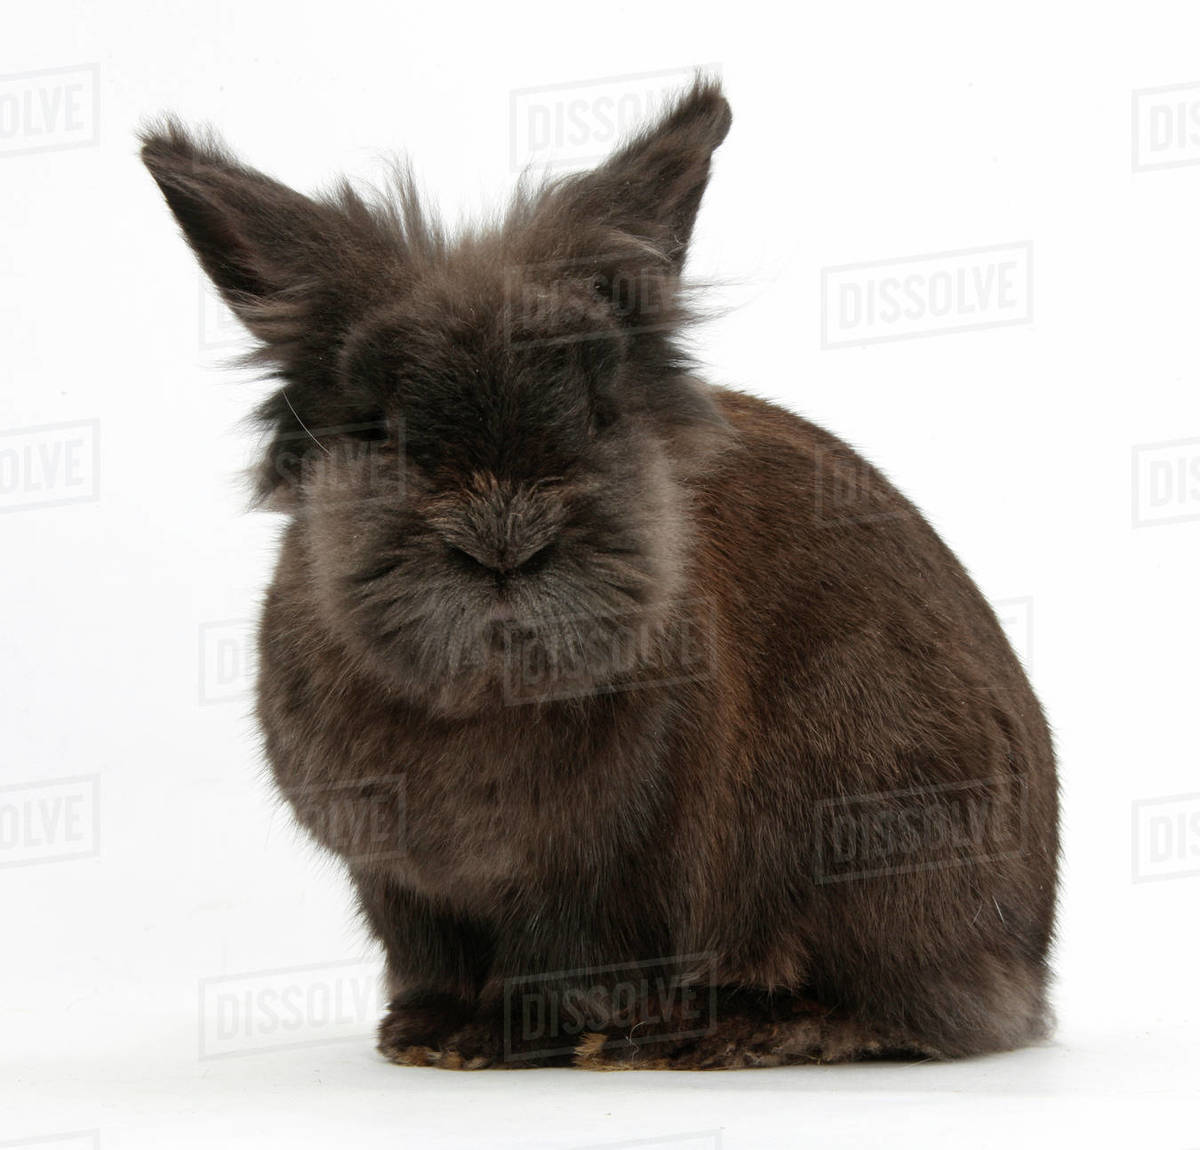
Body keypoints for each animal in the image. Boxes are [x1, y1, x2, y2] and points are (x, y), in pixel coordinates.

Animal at [141, 76, 1058, 1069]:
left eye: (599, 409)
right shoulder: (401, 889)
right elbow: (433, 957)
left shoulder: (602, 886)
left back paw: (705, 1034)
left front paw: (511, 1039)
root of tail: (1028, 971)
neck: (485, 691)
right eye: (375, 428)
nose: (504, 540)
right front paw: (427, 1036)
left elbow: (566, 967)